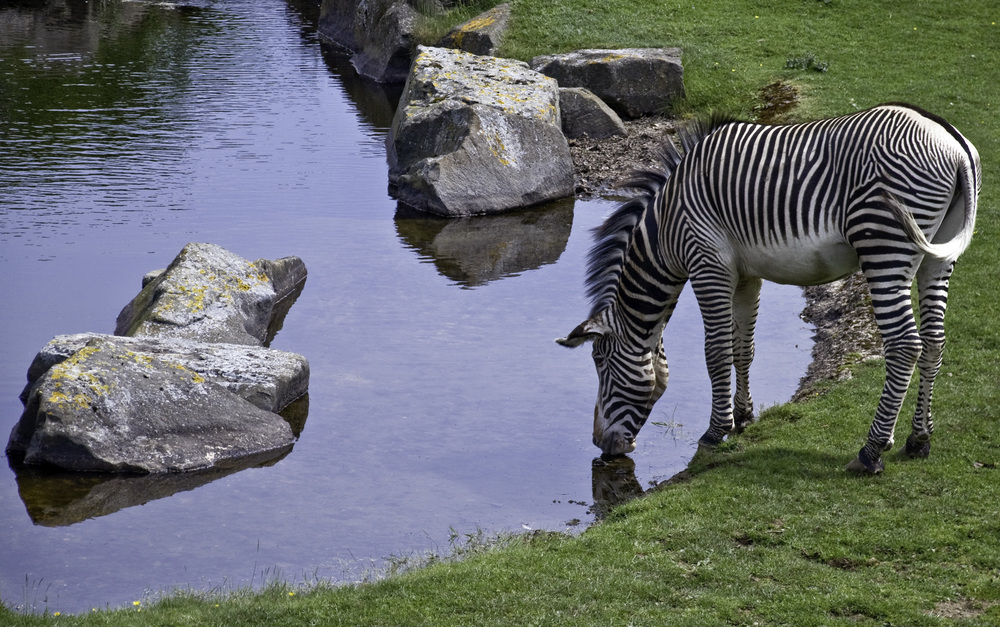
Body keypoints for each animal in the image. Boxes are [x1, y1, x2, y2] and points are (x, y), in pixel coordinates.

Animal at [557, 103, 980, 474]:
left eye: (600, 364)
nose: (601, 446)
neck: (666, 228)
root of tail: (953, 144)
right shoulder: (746, 274)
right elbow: (743, 349)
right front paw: (743, 417)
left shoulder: (707, 264)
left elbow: (716, 352)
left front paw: (715, 433)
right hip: (937, 252)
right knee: (935, 341)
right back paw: (918, 439)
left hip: (884, 244)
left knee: (905, 345)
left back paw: (871, 451)